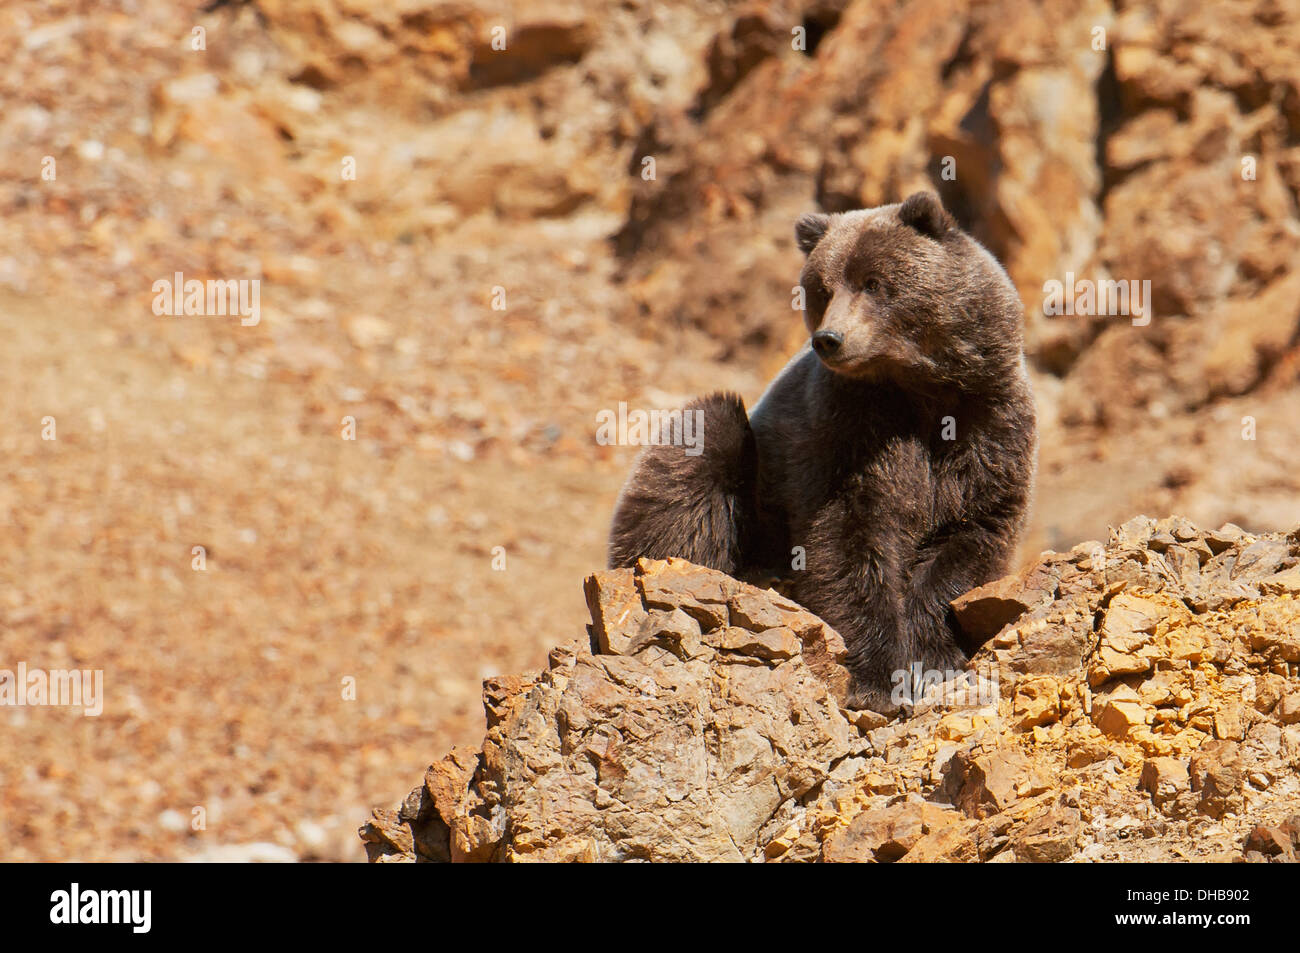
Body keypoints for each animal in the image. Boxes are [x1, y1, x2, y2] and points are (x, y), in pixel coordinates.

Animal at [607, 192, 1037, 711]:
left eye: (874, 282)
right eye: (822, 289)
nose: (830, 339)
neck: (919, 390)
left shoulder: (991, 426)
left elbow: (973, 534)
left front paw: (933, 654)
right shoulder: (846, 433)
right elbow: (848, 538)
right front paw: (879, 678)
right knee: (702, 450)